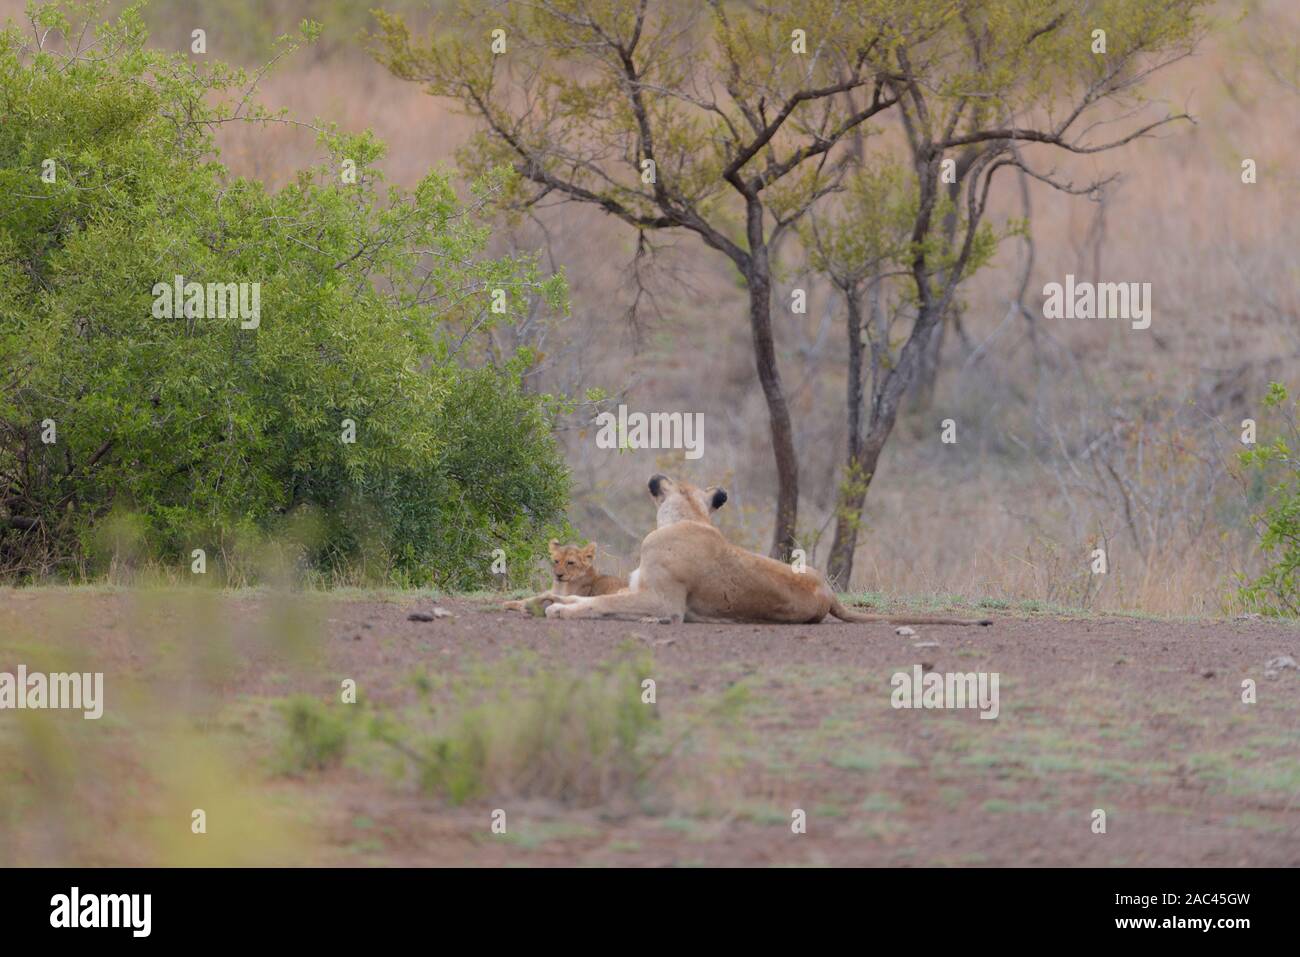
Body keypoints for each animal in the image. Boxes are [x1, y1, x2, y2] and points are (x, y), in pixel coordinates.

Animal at [545, 474, 992, 627]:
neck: (691, 517)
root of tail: (829, 592)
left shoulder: (665, 603)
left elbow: (602, 603)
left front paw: (562, 610)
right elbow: (599, 596)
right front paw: (552, 599)